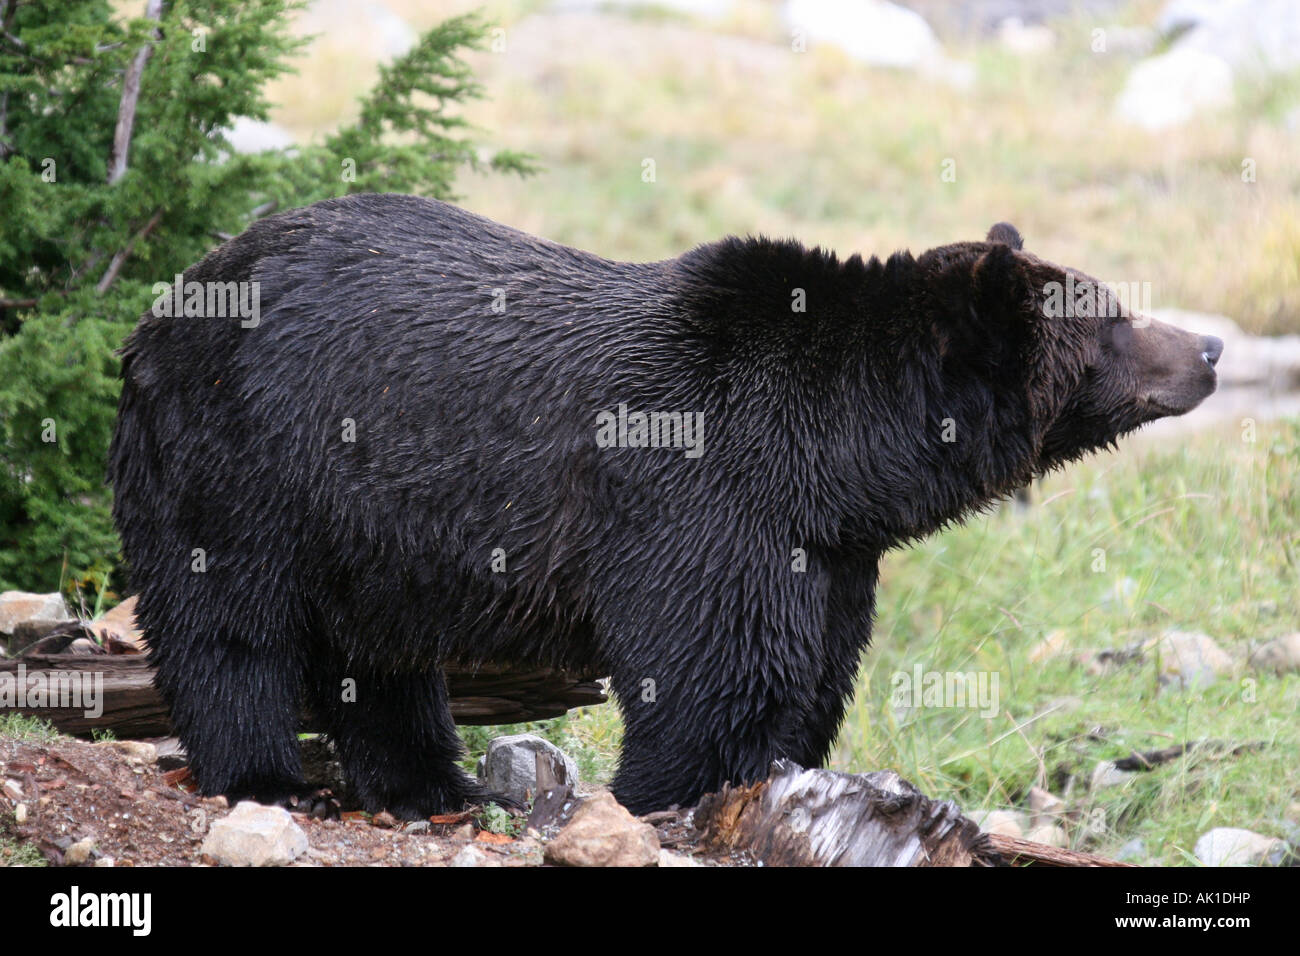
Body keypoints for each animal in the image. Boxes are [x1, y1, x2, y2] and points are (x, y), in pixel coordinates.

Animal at [108, 194, 1222, 816]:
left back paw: (429, 784)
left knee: (378, 654)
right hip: (244, 456)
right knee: (232, 624)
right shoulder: (697, 501)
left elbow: (812, 674)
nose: (1208, 347)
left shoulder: (825, 552)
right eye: (1114, 318)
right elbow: (712, 674)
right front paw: (671, 792)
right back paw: (267, 774)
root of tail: (170, 297)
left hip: (370, 527)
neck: (831, 458)